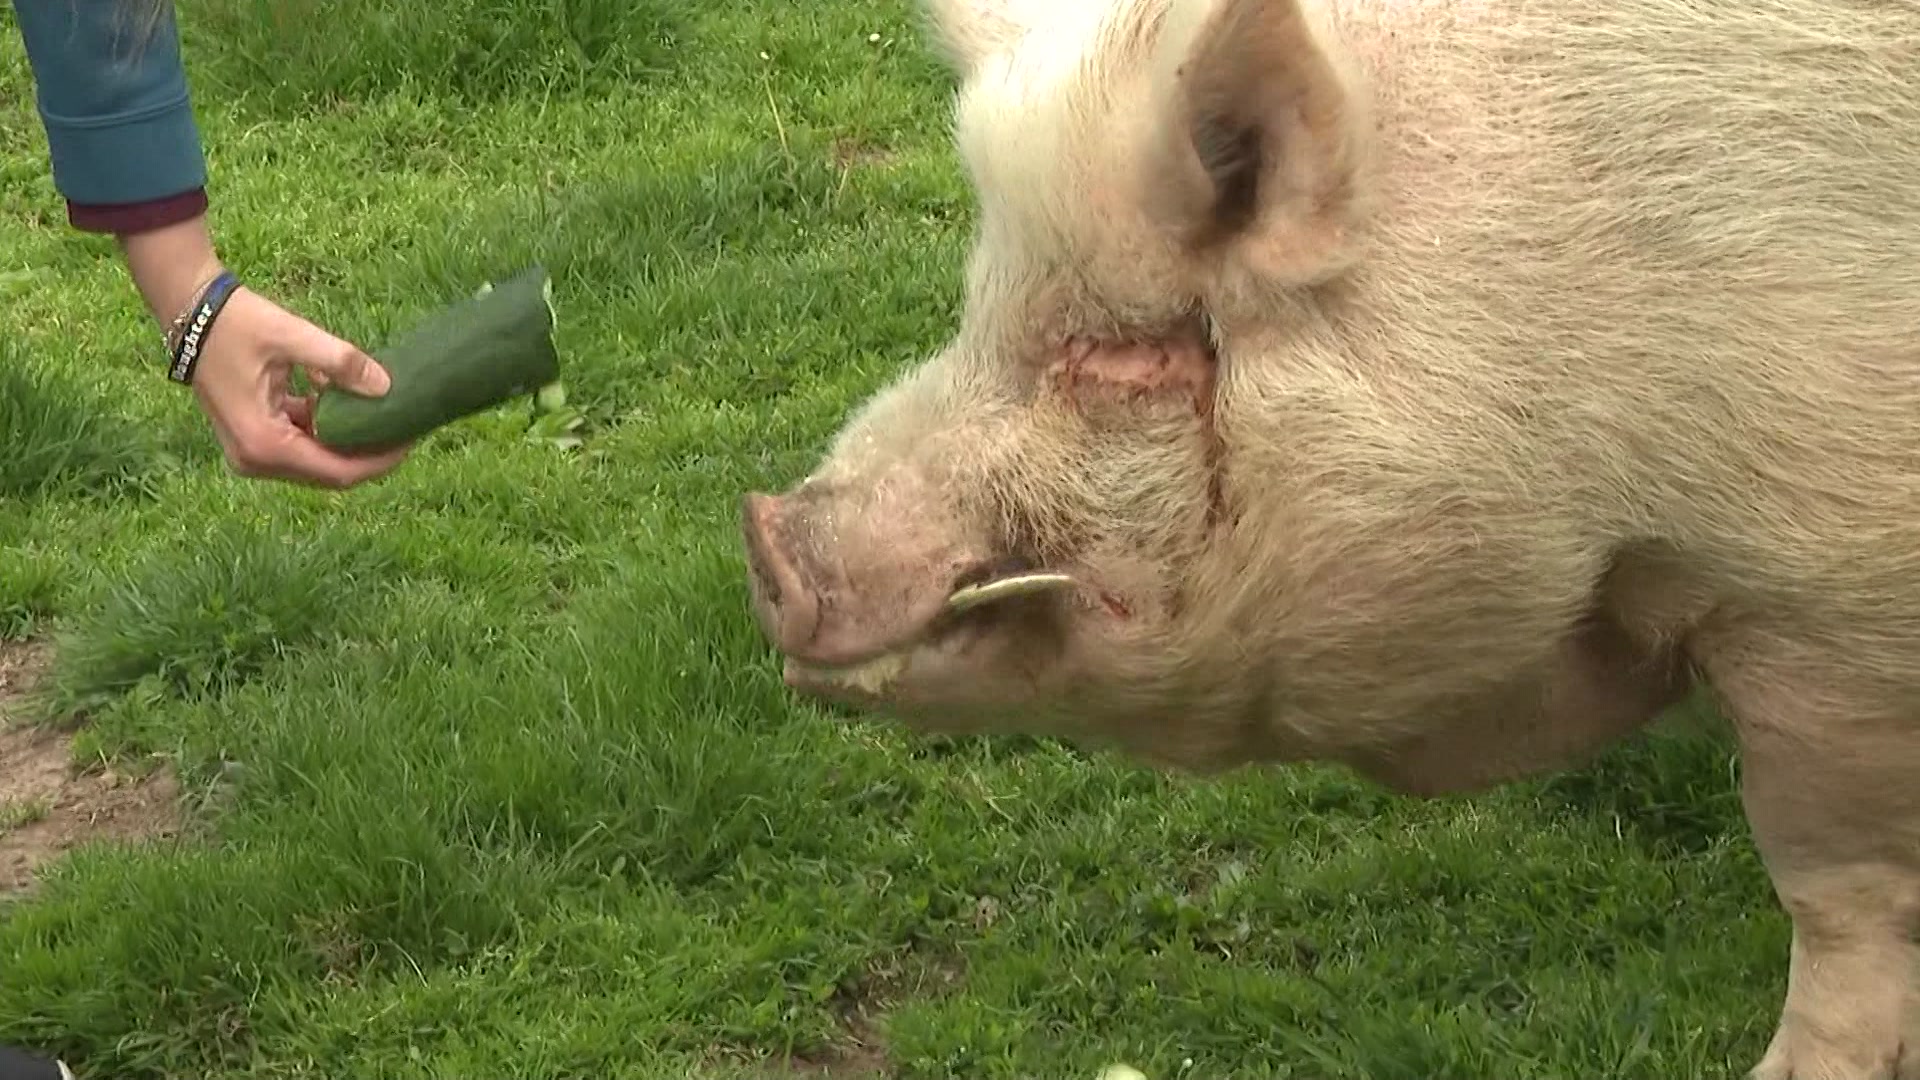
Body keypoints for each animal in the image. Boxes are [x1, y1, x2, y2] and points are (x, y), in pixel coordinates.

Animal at [738, 0, 1920, 1075]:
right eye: (975, 307)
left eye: (1120, 358)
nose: (766, 537)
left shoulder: (1831, 601)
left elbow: (1838, 894)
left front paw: (1786, 1072)